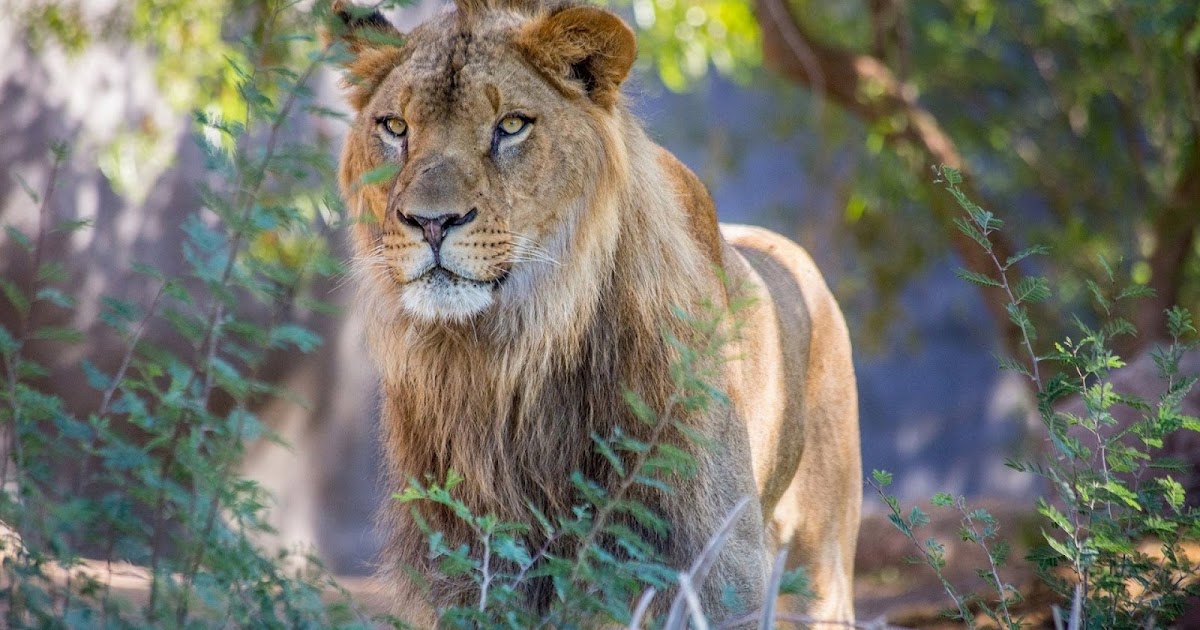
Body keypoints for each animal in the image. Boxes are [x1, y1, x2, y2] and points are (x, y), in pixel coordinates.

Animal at [330, 0, 861, 625]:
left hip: (819, 559)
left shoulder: (715, 563)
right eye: (394, 128)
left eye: (511, 125)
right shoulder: (464, 570)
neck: (510, 356)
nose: (431, 222)